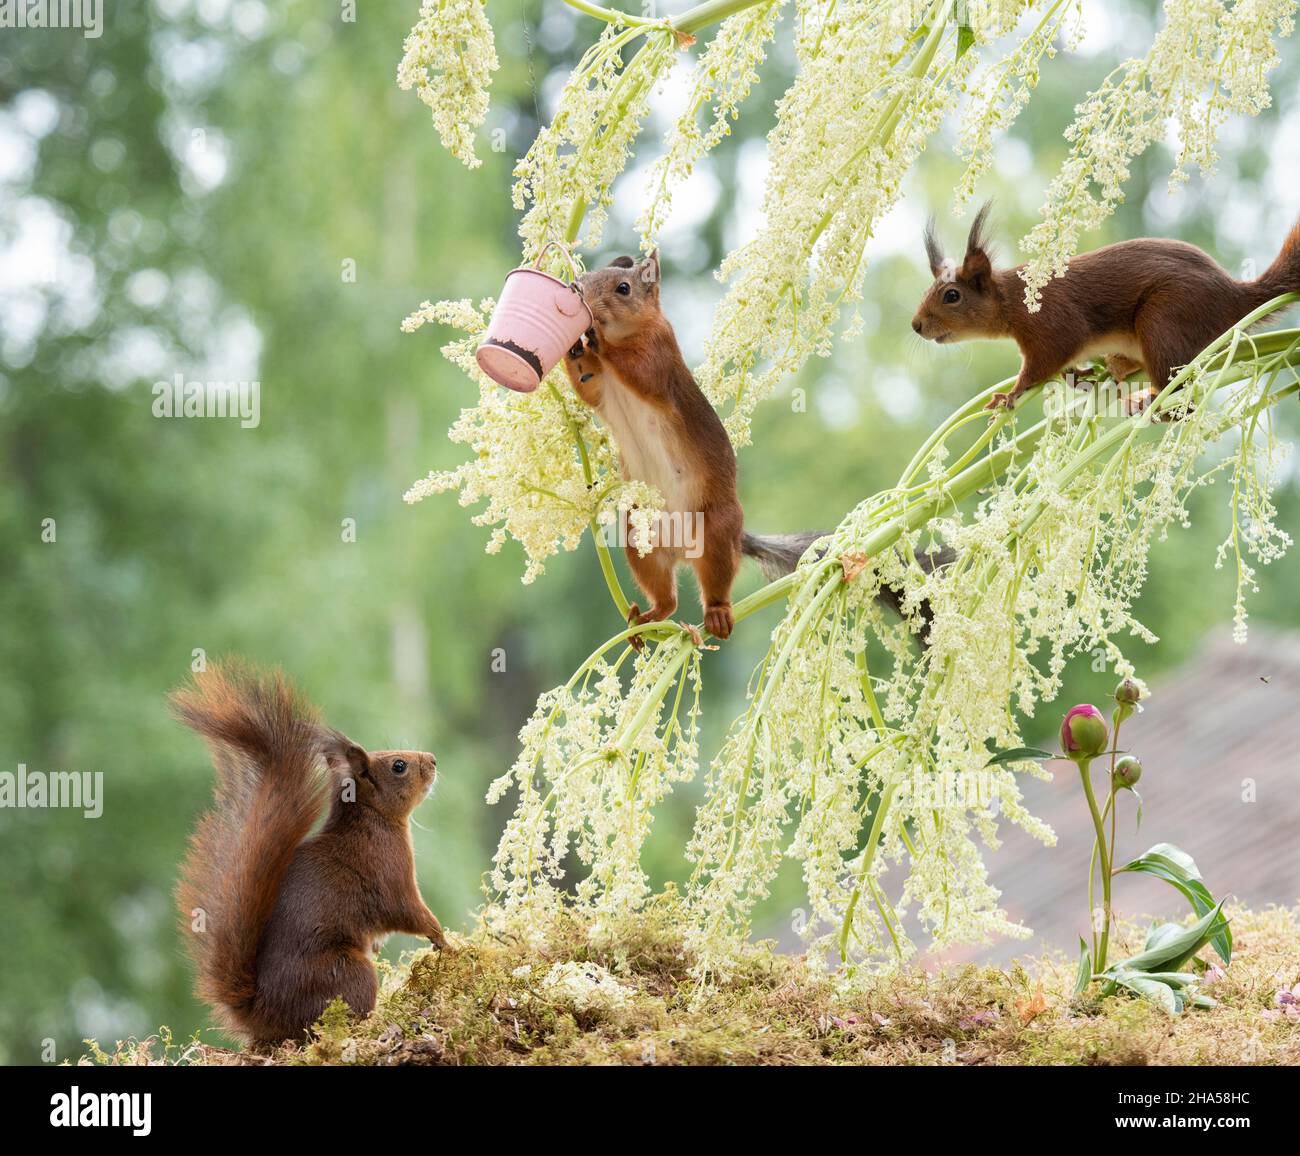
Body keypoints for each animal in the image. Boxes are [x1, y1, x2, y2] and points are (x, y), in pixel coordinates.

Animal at [173, 662, 447, 1050]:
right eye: (398, 766)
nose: (434, 761)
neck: (373, 819)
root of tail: (262, 1012)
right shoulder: (388, 870)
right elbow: (408, 911)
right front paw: (444, 940)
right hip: (348, 974)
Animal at [564, 250, 953, 643]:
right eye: (589, 276)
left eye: (623, 288)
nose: (576, 289)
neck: (631, 331)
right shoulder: (602, 388)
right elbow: (587, 387)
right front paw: (574, 346)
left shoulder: (660, 358)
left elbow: (638, 369)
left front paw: (595, 336)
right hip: (641, 541)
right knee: (667, 599)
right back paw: (648, 617)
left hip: (716, 532)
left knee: (717, 580)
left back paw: (717, 613)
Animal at [911, 203, 1300, 413]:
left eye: (951, 296)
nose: (916, 325)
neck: (1013, 300)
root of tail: (1234, 299)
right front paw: (1078, 375)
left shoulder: (1053, 324)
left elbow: (1044, 361)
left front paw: (1012, 393)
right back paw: (1116, 368)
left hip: (1165, 320)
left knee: (1180, 394)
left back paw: (1151, 401)